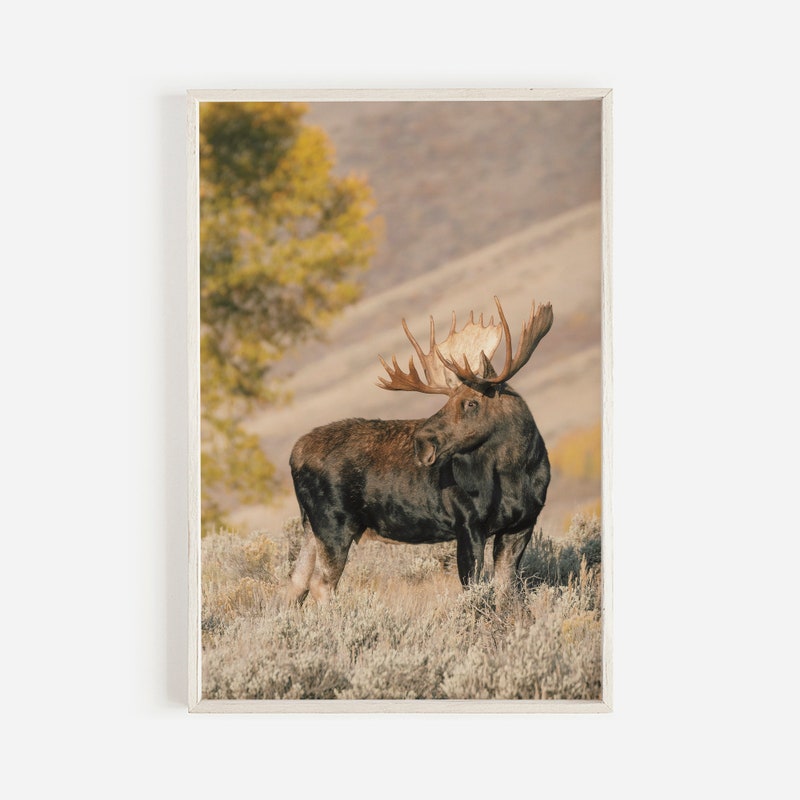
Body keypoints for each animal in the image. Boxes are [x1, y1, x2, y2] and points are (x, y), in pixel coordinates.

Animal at [285, 296, 553, 603]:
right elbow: (473, 590)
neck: (517, 471)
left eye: (471, 403)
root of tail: (294, 455)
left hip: (311, 526)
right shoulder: (467, 522)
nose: (422, 440)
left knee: (296, 583)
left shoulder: (522, 524)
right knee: (321, 583)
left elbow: (507, 591)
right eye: (448, 402)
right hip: (334, 523)